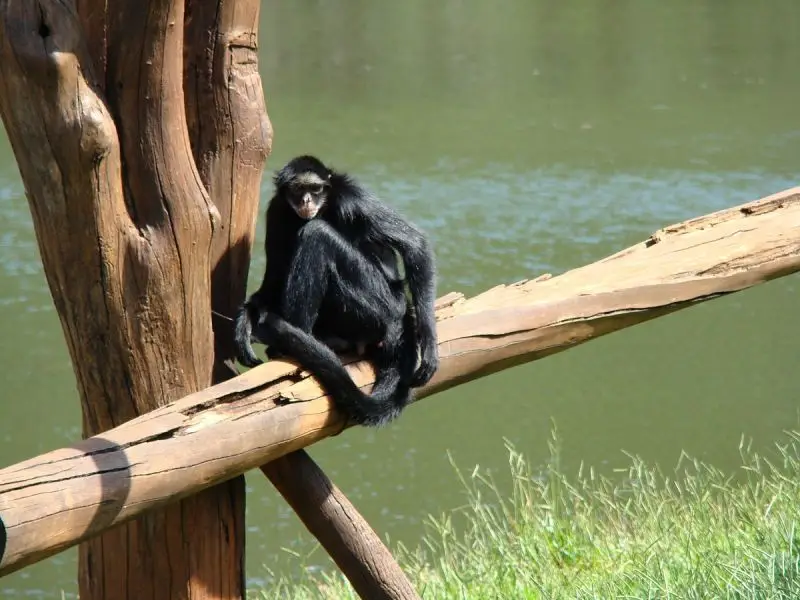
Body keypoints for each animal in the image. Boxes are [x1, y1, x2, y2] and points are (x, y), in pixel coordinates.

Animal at [234, 155, 439, 427]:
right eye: (298, 189)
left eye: (315, 189)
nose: (306, 200)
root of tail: (402, 310)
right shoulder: (277, 208)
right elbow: (273, 279)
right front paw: (245, 319)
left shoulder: (351, 198)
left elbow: (416, 245)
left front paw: (430, 350)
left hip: (379, 304)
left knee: (317, 234)